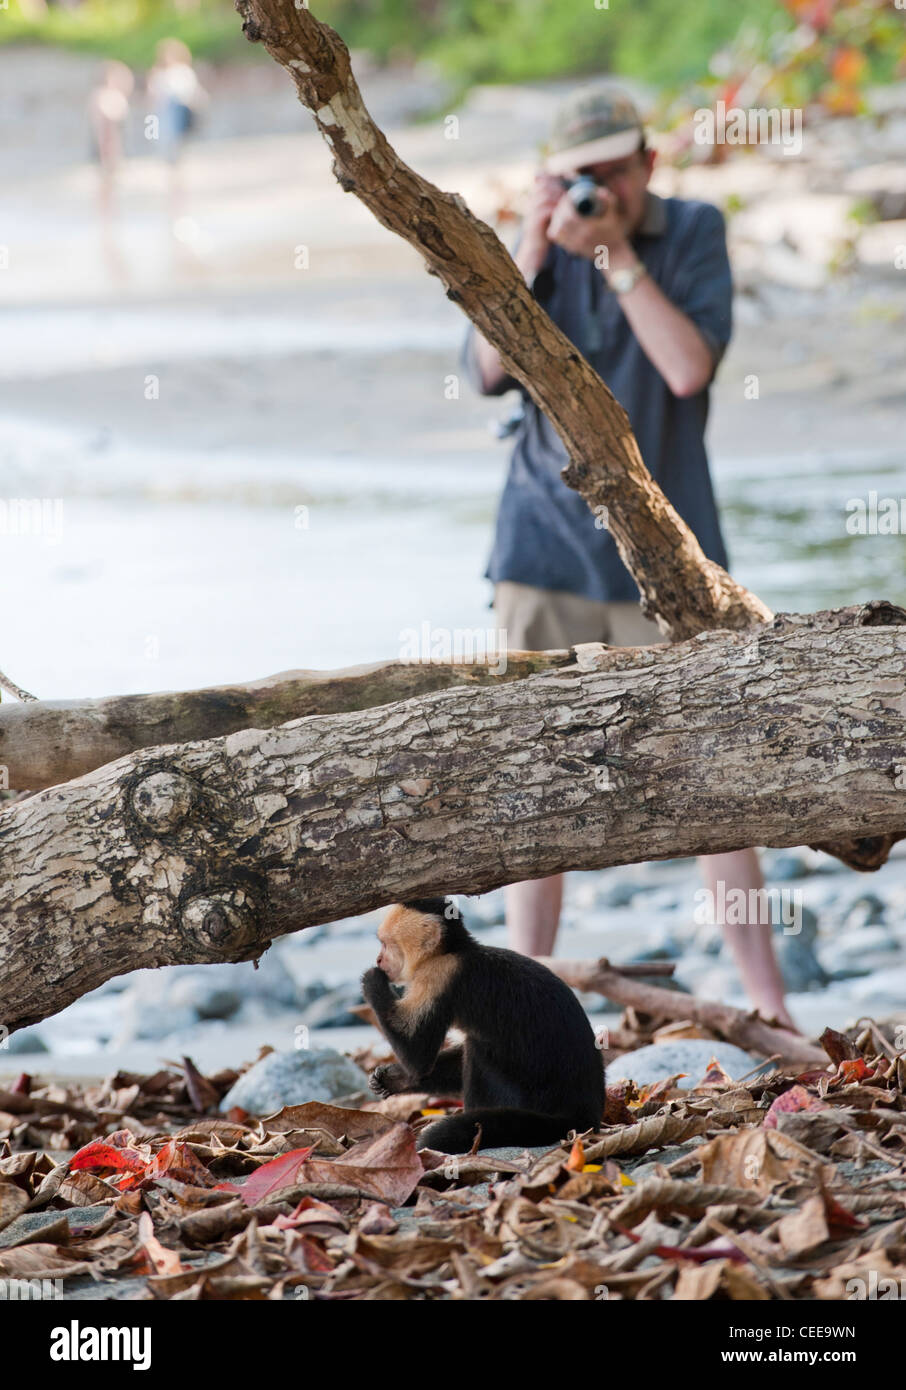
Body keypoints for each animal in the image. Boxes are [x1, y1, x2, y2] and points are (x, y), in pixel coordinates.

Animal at [360, 897, 605, 1154]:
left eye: (386, 945)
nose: (378, 960)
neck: (452, 951)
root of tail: (584, 1116)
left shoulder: (439, 974)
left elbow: (418, 1058)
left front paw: (372, 980)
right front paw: (393, 1078)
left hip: (528, 1098)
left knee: (477, 1049)